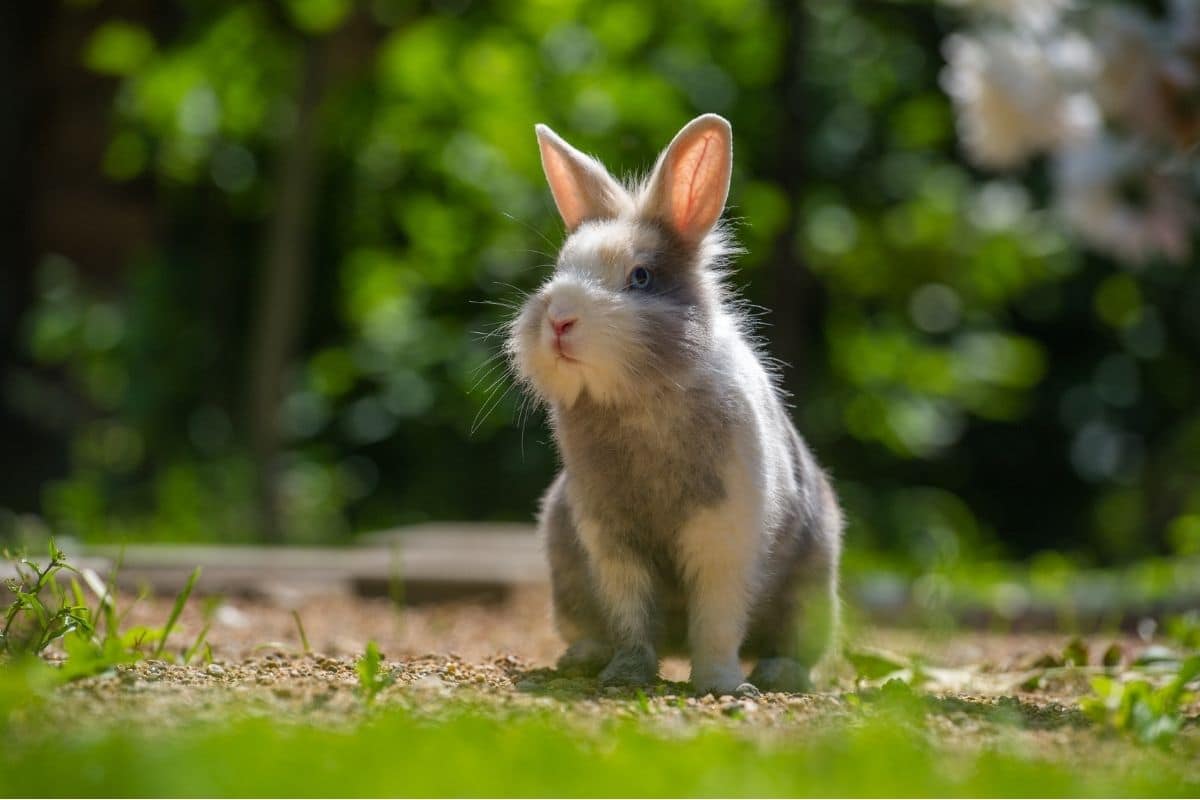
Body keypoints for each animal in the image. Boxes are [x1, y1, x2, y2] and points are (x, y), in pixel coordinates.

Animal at [507, 113, 842, 695]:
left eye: (641, 277)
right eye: (558, 270)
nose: (559, 320)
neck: (639, 401)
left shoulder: (724, 535)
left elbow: (718, 619)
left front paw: (722, 685)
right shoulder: (611, 541)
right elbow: (630, 616)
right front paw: (625, 675)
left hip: (813, 585)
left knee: (791, 644)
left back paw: (778, 674)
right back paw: (583, 658)